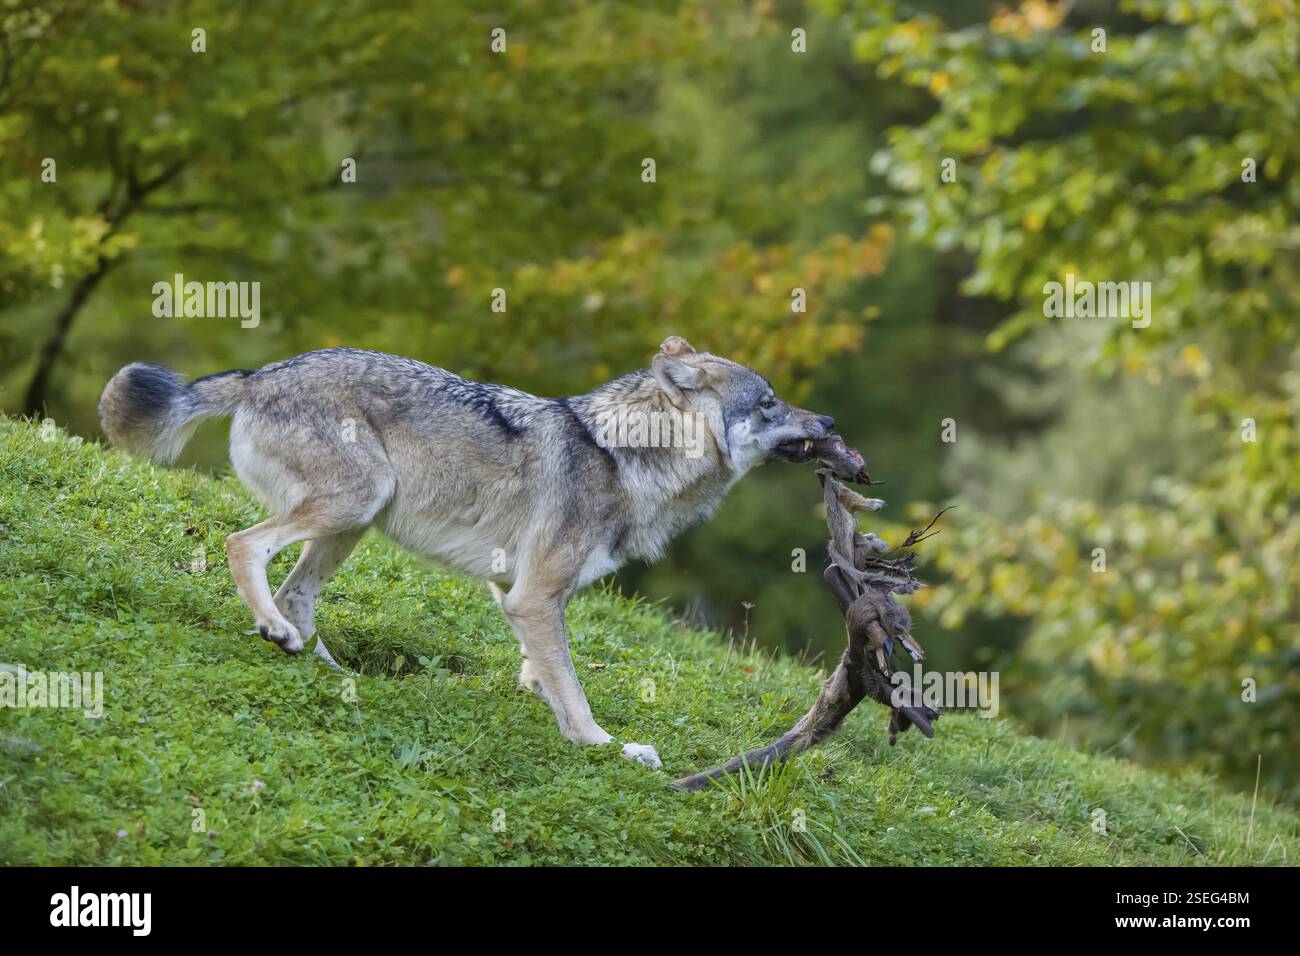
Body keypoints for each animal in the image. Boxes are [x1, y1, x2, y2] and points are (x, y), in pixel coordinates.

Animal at [98, 337, 838, 768]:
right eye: (769, 404)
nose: (829, 422)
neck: (623, 456)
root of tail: (259, 373)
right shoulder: (535, 596)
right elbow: (575, 691)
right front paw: (604, 747)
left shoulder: (521, 595)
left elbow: (544, 673)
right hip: (353, 504)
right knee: (242, 545)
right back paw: (276, 633)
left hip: (356, 521)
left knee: (297, 593)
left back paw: (326, 666)